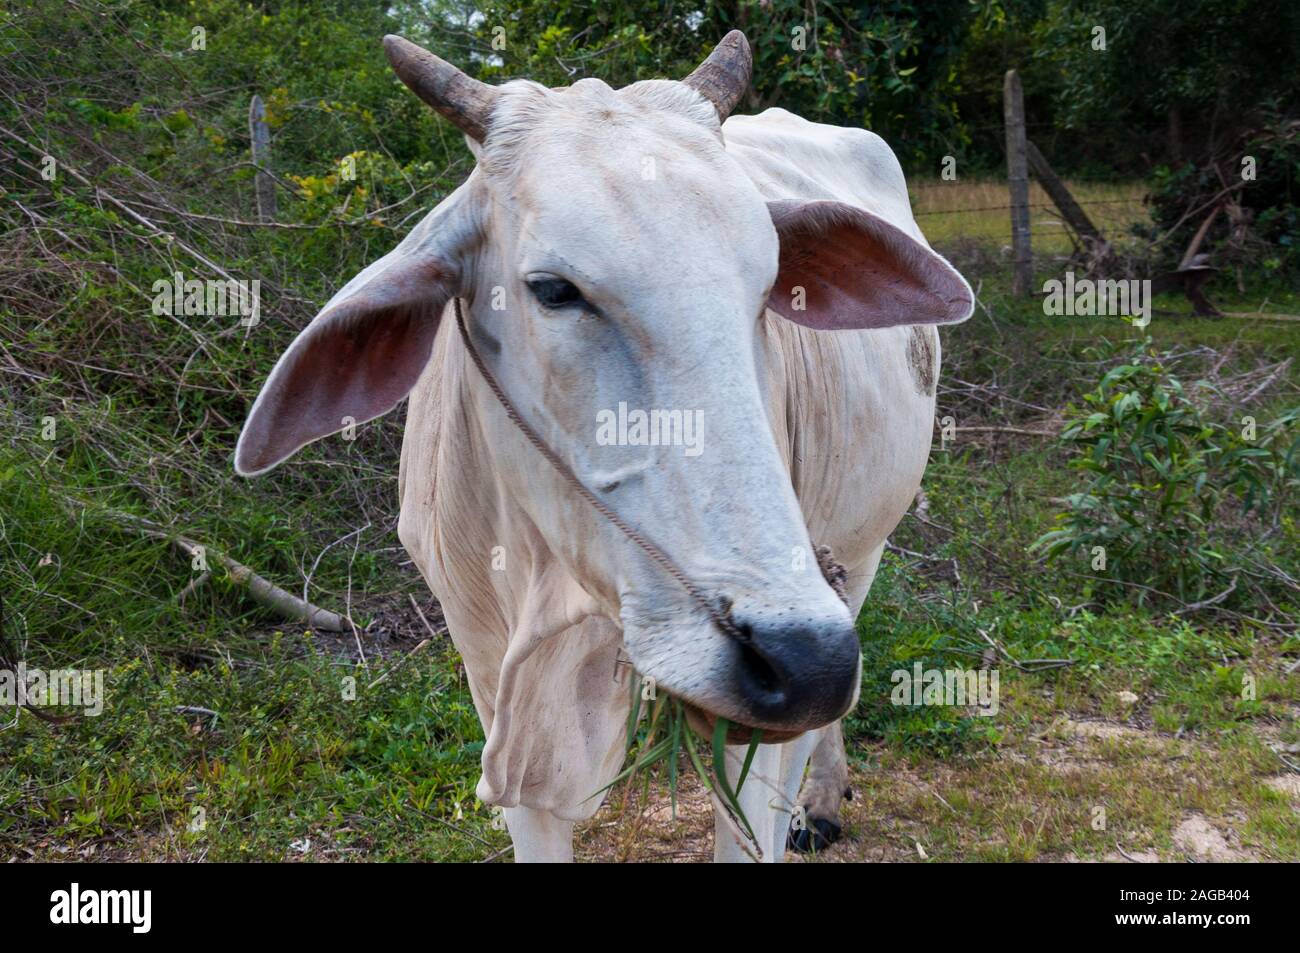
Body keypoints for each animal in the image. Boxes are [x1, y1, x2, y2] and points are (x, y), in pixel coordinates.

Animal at [235, 31, 972, 862]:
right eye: (554, 289)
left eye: (772, 287)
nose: (804, 661)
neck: (559, 590)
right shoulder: (495, 689)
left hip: (859, 550)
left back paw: (819, 798)